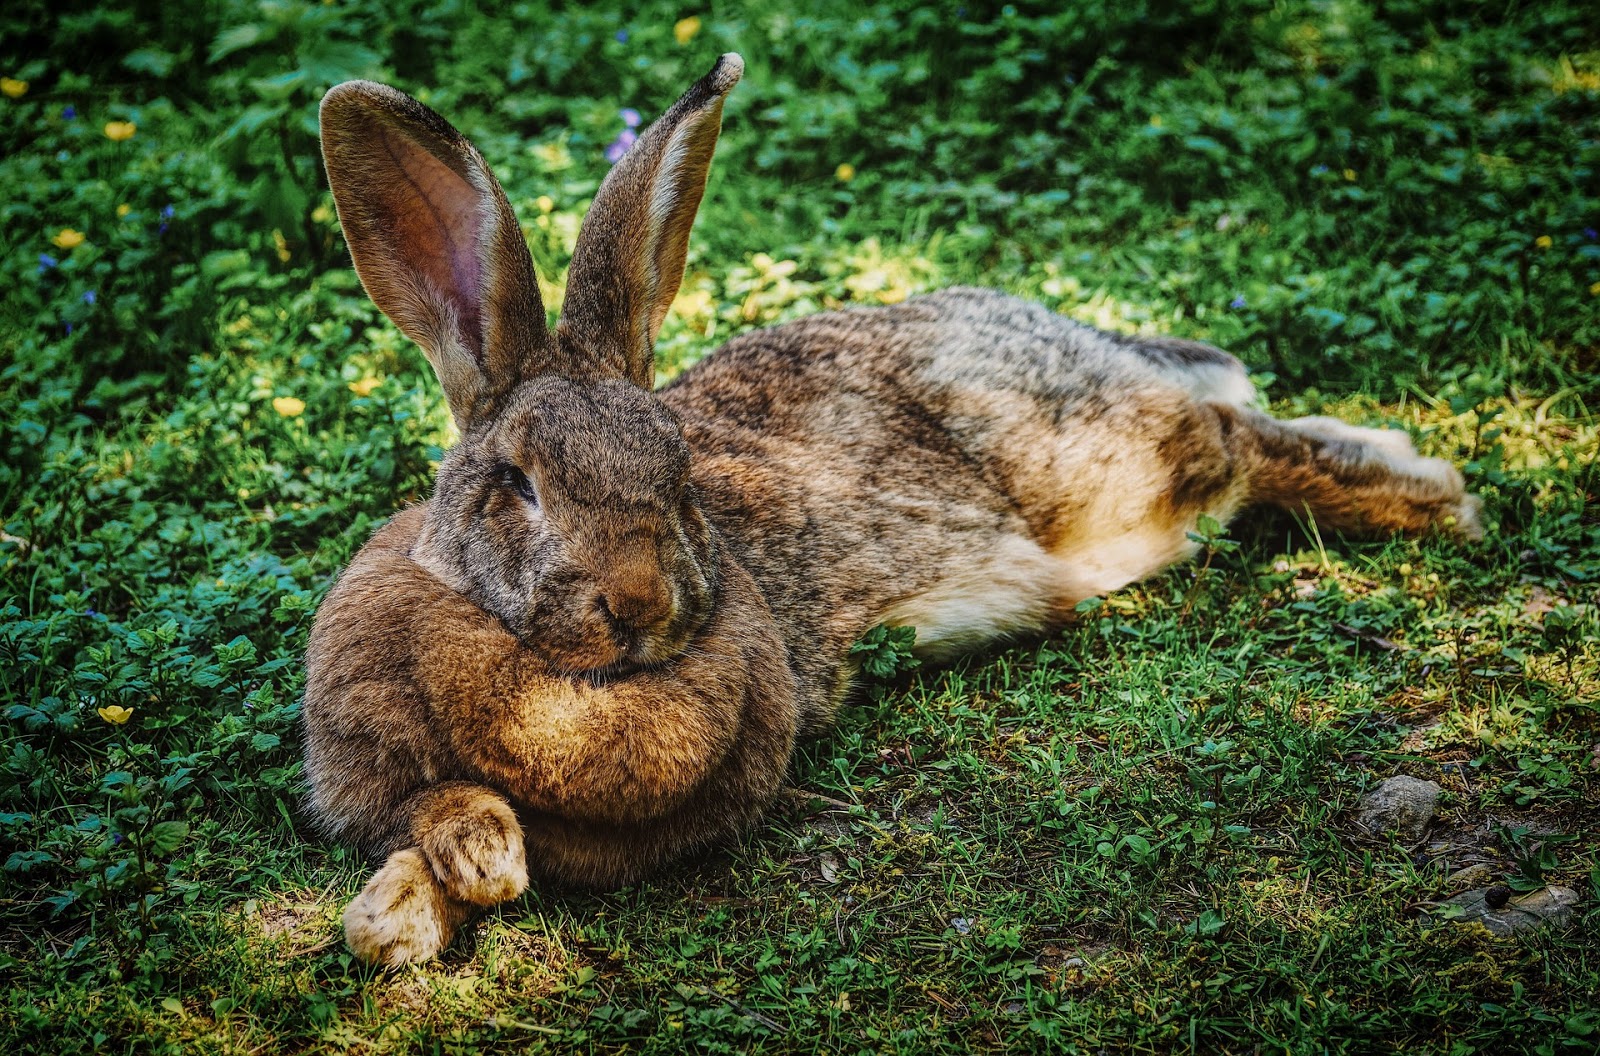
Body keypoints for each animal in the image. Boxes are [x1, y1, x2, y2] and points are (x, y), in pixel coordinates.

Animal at [304, 53, 1481, 966]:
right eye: (518, 484)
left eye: (679, 476)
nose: (639, 605)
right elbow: (420, 825)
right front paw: (415, 902)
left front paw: (441, 887)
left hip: (1105, 468)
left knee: (1236, 442)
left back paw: (1431, 498)